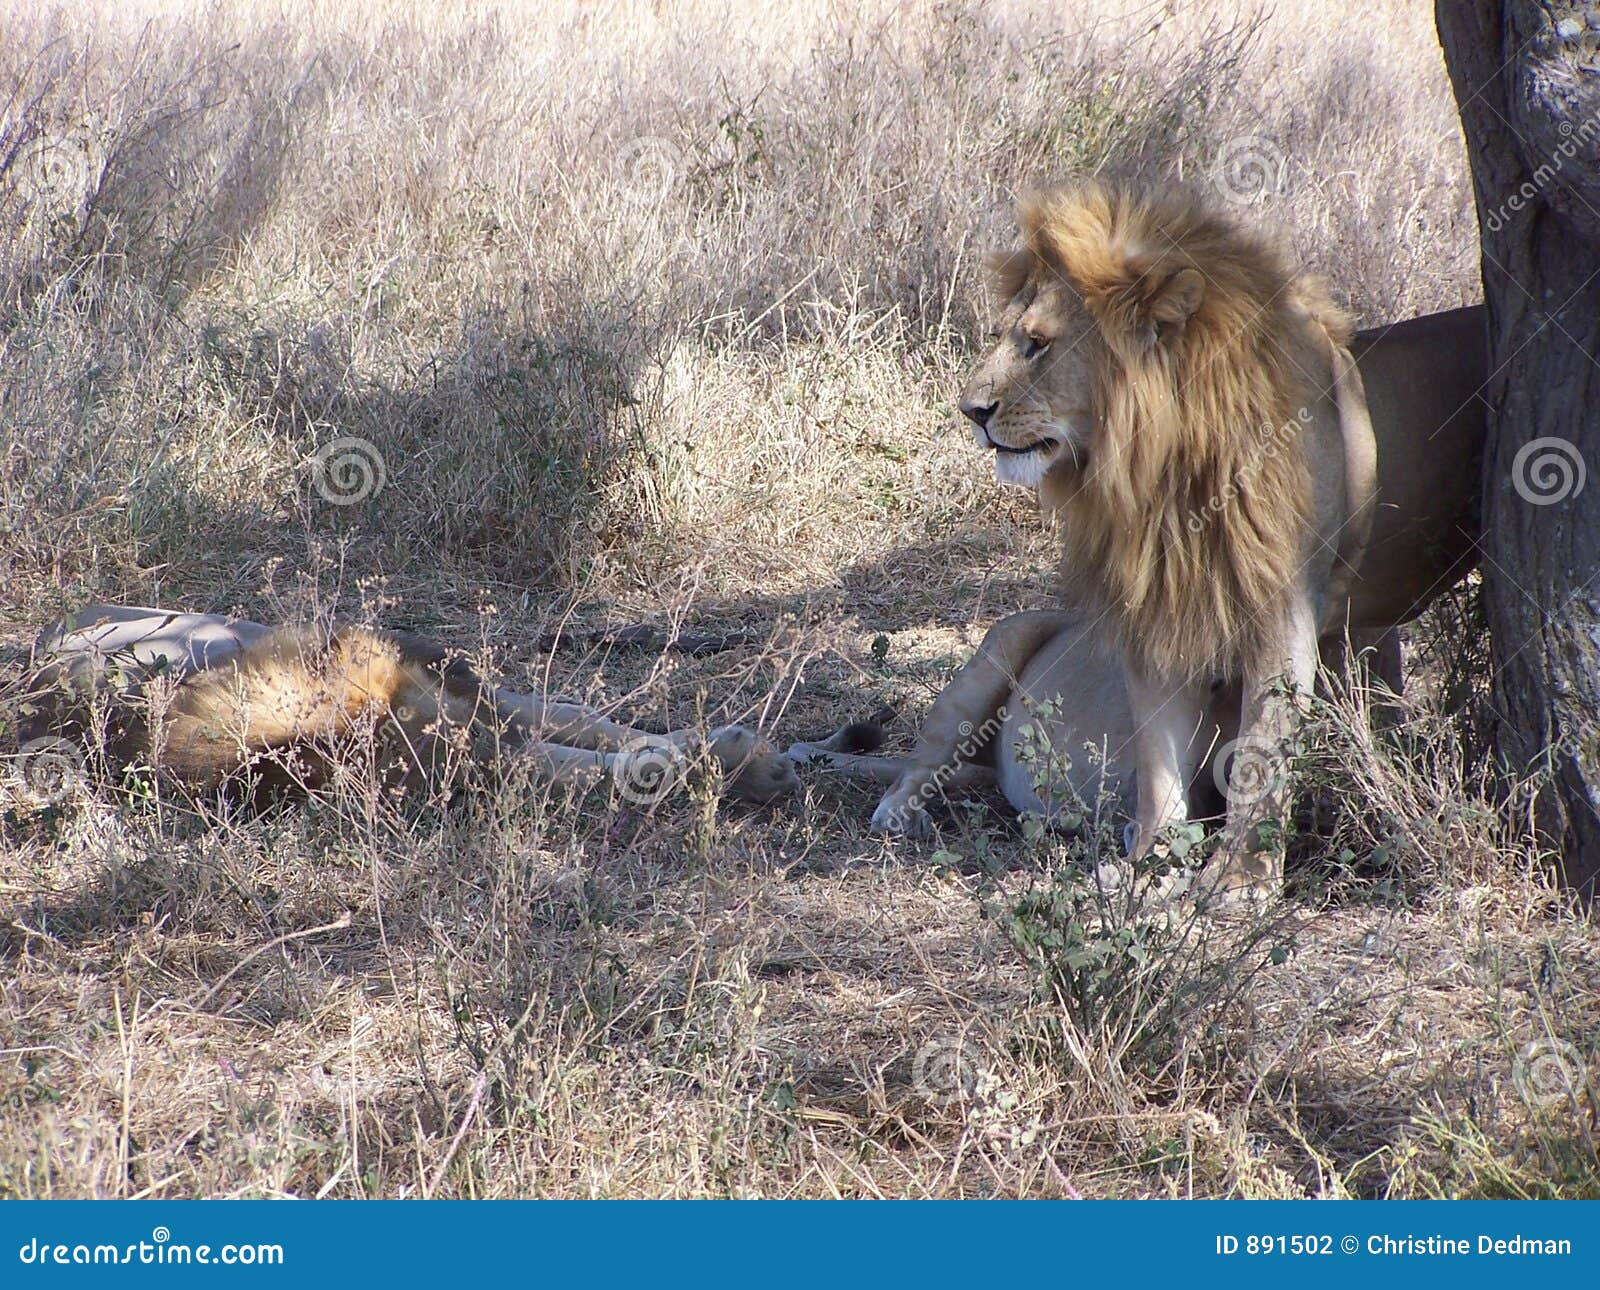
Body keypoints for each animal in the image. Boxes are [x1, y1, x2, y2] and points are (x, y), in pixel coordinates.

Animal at [792, 183, 1484, 899]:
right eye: (1005, 339)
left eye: (1037, 344)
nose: (971, 412)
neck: (1172, 462)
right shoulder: (1154, 604)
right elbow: (1158, 761)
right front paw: (1150, 860)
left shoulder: (1284, 605)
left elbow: (1261, 748)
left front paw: (1236, 880)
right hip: (990, 657)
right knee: (917, 765)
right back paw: (903, 813)